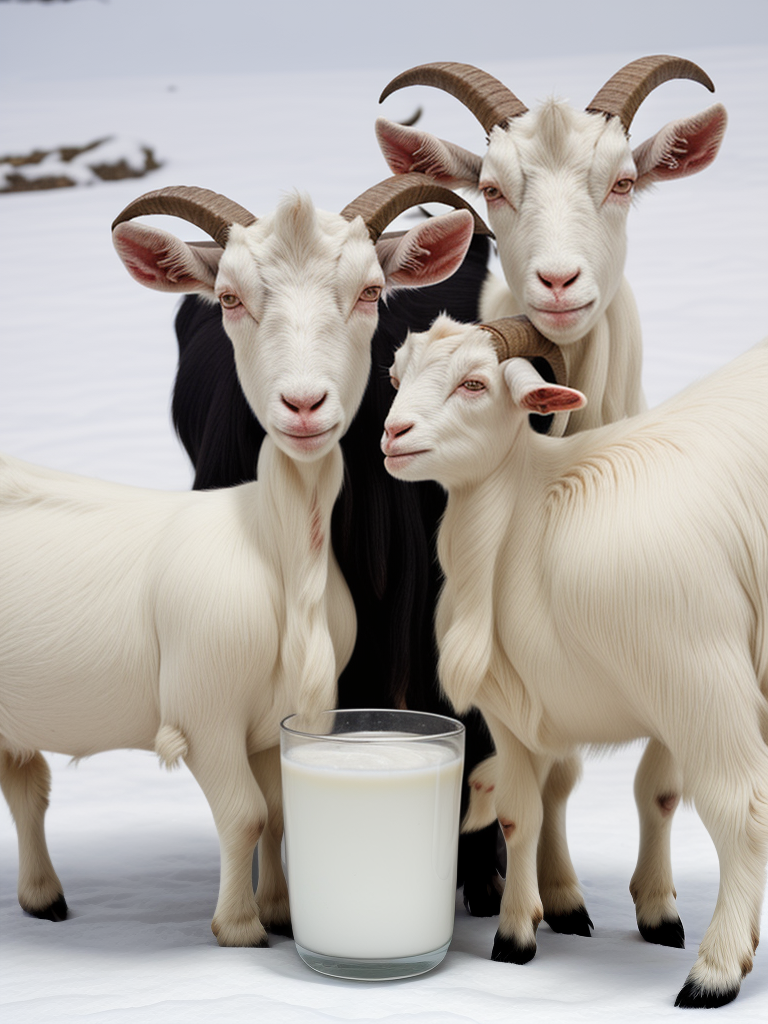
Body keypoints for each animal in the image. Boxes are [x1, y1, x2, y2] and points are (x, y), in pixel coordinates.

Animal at [0, 176, 478, 947]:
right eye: (228, 298)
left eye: (371, 291)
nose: (305, 405)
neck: (278, 548)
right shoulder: (205, 711)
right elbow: (247, 813)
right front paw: (240, 930)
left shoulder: (291, 713)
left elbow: (280, 812)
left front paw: (281, 912)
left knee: (24, 781)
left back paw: (44, 897)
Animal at [376, 54, 728, 944]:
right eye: (492, 188)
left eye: (626, 180)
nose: (560, 282)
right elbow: (552, 771)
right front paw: (558, 899)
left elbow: (660, 782)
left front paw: (659, 909)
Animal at [382, 313, 768, 1008]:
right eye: (399, 378)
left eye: (475, 383)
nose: (393, 435)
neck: (527, 527)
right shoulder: (517, 709)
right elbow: (530, 808)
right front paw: (523, 931)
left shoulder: (697, 675)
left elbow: (732, 804)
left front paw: (716, 962)